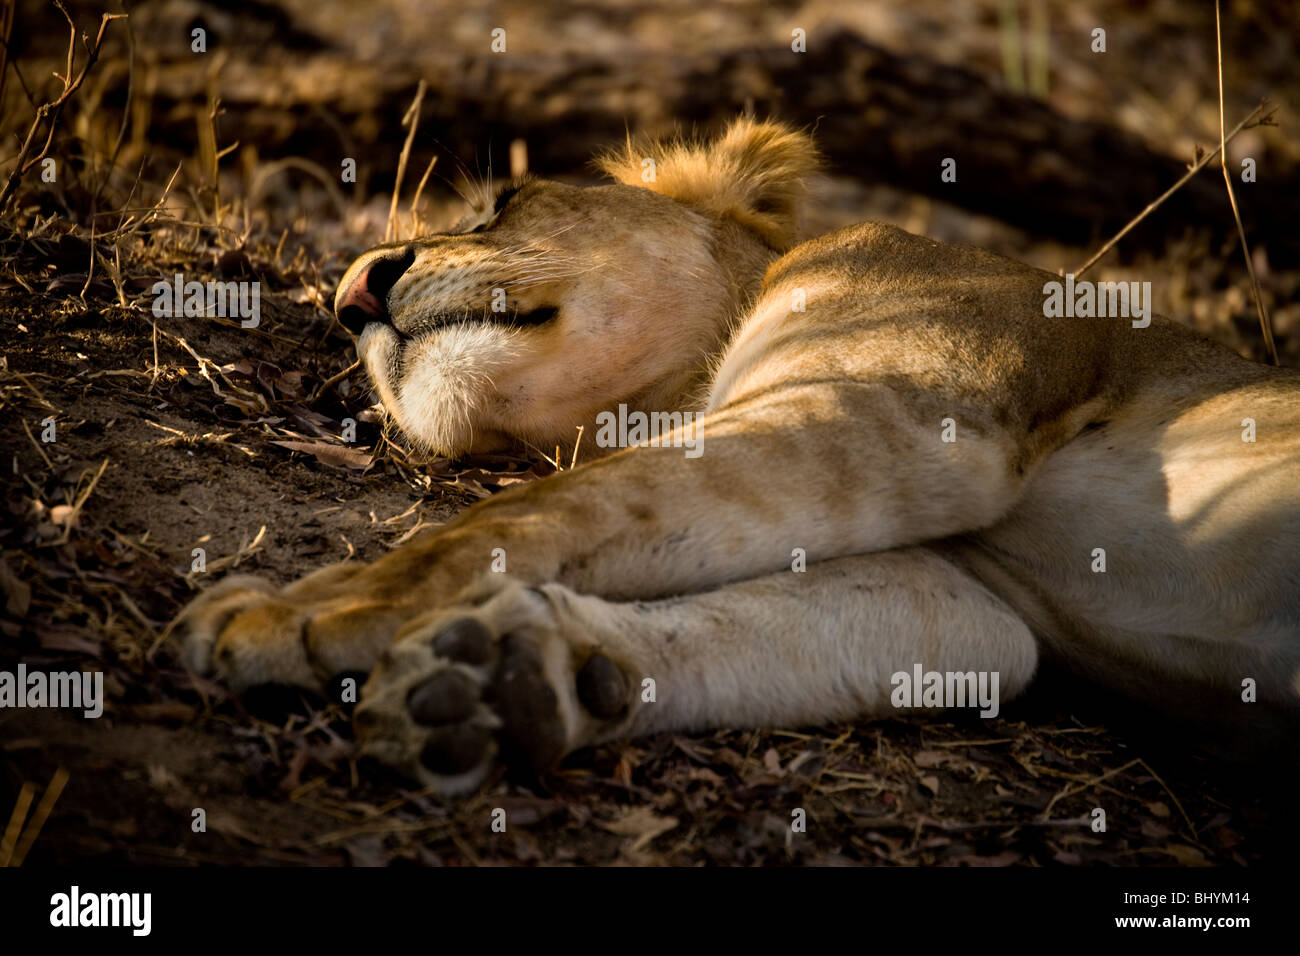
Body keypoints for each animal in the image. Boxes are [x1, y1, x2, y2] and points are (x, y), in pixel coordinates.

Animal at [175, 118, 1300, 794]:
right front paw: (499, 679)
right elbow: (752, 628)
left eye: (505, 205)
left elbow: (544, 509)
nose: (353, 290)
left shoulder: (905, 406)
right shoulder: (969, 599)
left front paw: (297, 611)